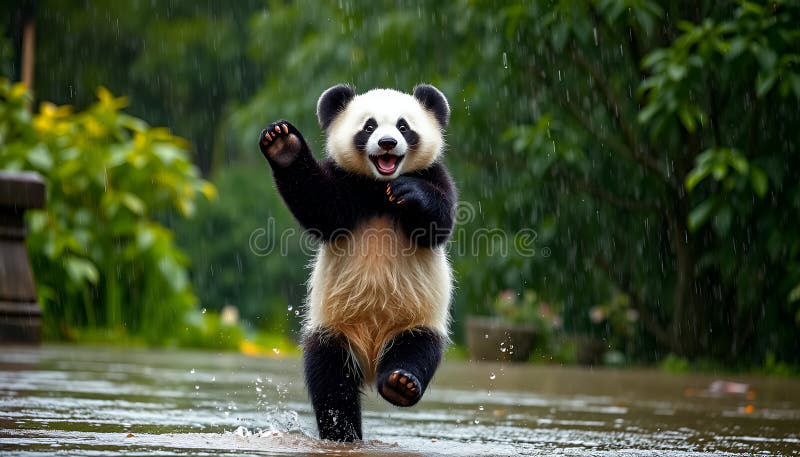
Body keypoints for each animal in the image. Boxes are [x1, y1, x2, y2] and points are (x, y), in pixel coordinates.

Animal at [258, 84, 456, 442]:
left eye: (404, 126)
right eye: (369, 126)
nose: (387, 143)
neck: (378, 187)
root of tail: (371, 362)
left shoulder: (435, 174)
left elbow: (440, 222)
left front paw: (410, 193)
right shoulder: (346, 186)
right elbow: (320, 206)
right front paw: (282, 143)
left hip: (417, 318)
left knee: (418, 350)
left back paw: (401, 384)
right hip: (333, 329)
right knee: (331, 381)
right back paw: (342, 432)